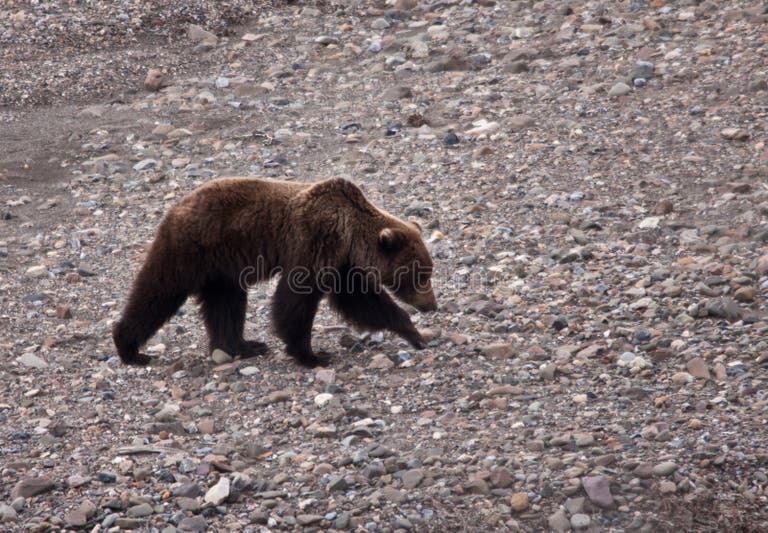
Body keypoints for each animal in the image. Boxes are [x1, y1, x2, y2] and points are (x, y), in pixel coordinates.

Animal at [112, 177, 437, 368]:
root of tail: (175, 207)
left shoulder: (343, 263)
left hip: (222, 269)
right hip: (190, 250)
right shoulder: (315, 243)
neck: (350, 235)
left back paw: (243, 346)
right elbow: (296, 301)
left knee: (226, 305)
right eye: (420, 275)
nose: (431, 305)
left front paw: (415, 334)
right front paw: (311, 355)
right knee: (159, 291)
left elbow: (361, 300)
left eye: (429, 272)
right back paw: (130, 348)